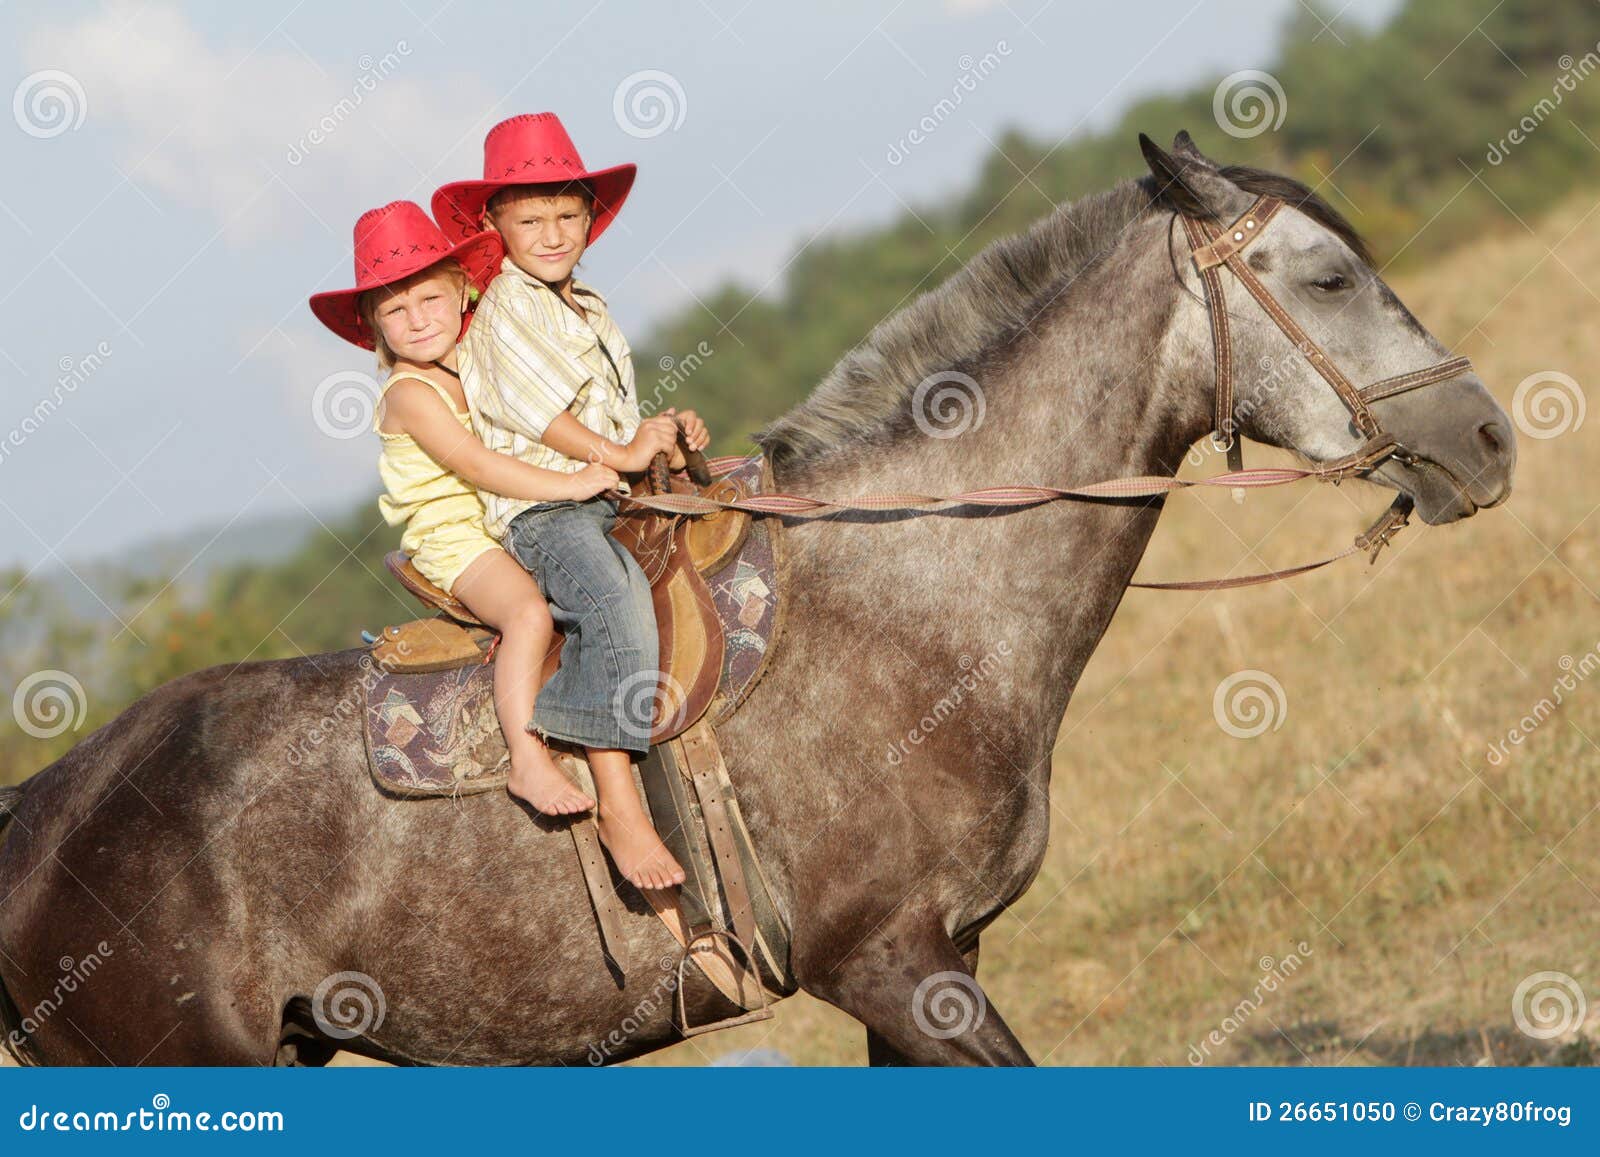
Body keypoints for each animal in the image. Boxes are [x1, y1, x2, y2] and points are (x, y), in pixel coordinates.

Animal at [0, 132, 1514, 1066]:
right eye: (1327, 274)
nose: (1490, 438)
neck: (914, 609)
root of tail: (41, 812)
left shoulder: (928, 962)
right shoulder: (897, 963)